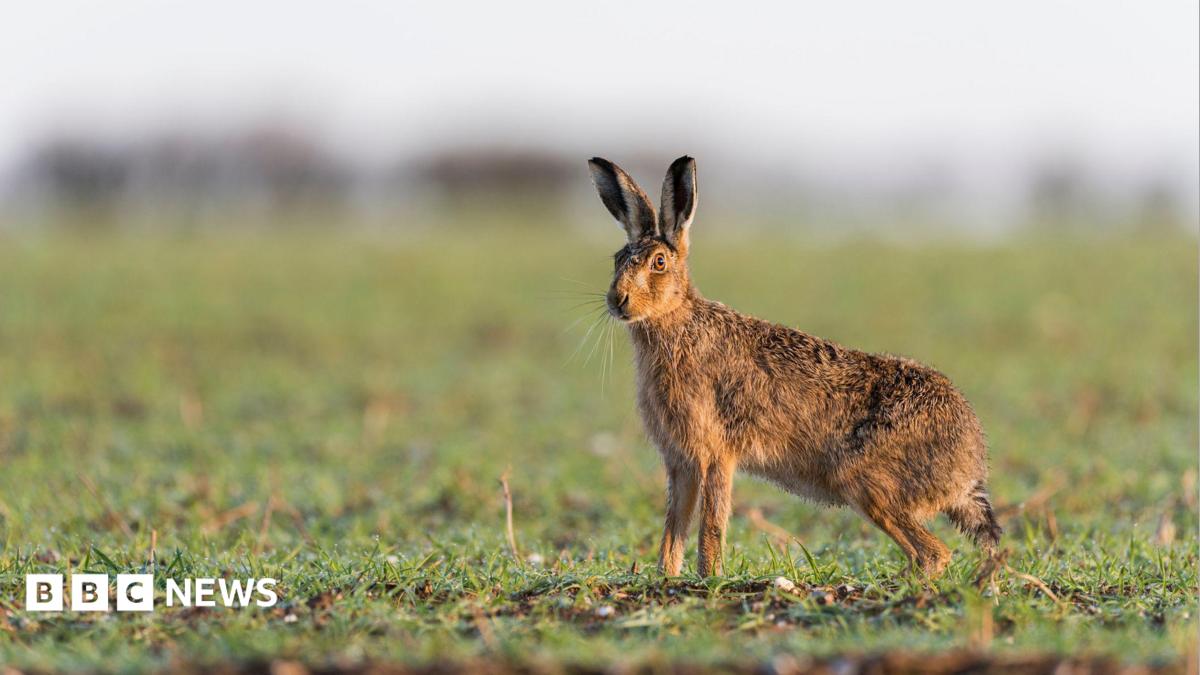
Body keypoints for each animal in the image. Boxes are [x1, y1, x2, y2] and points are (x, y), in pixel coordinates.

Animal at [586, 156, 1000, 579]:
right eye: (617, 259)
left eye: (659, 263)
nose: (617, 300)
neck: (675, 322)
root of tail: (968, 465)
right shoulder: (680, 461)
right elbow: (673, 529)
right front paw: (666, 577)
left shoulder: (715, 454)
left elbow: (711, 524)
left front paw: (709, 577)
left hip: (869, 486)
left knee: (934, 554)